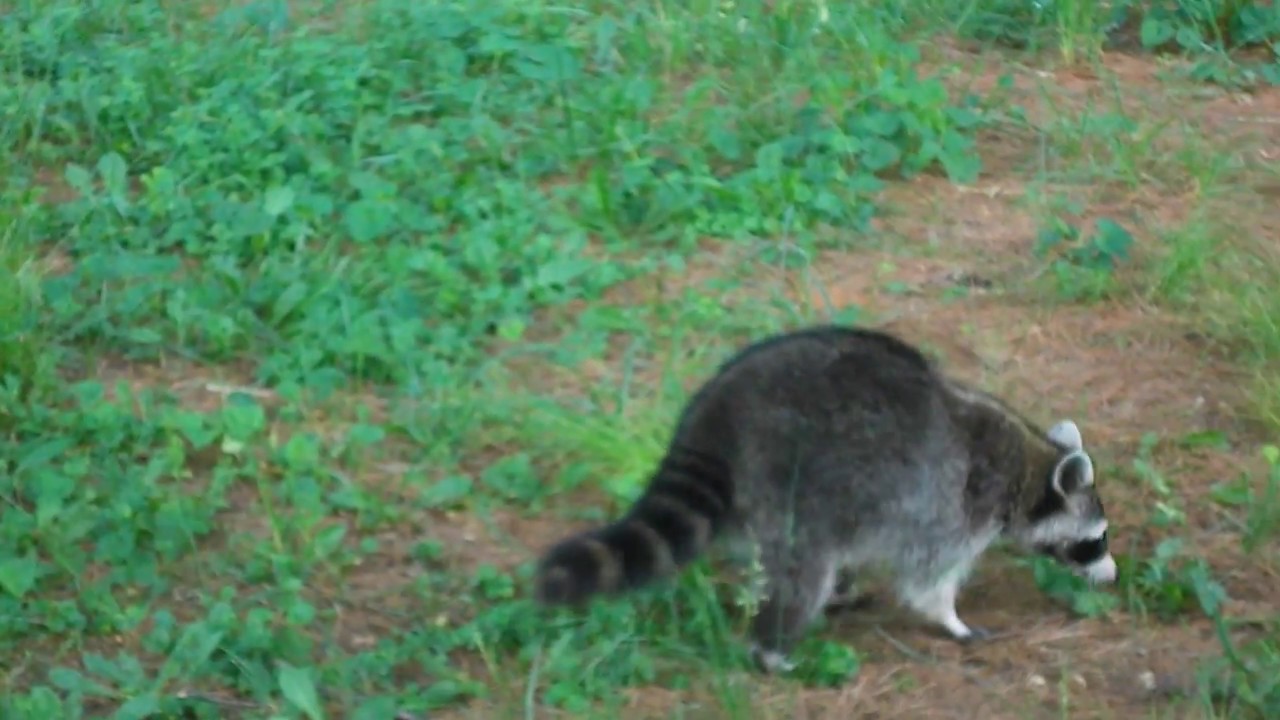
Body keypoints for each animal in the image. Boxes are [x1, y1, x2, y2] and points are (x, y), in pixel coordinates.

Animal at [532, 325, 1116, 672]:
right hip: (790, 477)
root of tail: (717, 413)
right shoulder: (954, 502)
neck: (1027, 468)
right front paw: (950, 618)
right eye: (1094, 540)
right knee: (801, 569)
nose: (1111, 577)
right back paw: (773, 648)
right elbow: (926, 577)